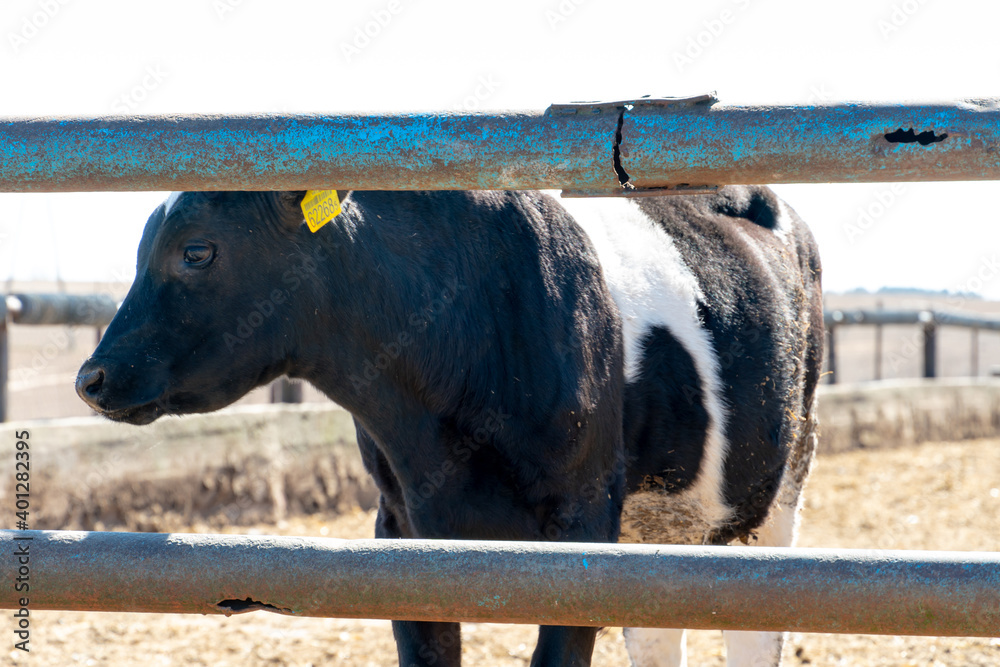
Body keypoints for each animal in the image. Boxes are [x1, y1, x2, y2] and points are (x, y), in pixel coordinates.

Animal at [76, 186, 823, 667]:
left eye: (197, 252)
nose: (92, 376)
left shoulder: (583, 519)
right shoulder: (401, 526)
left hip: (779, 488)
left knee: (758, 629)